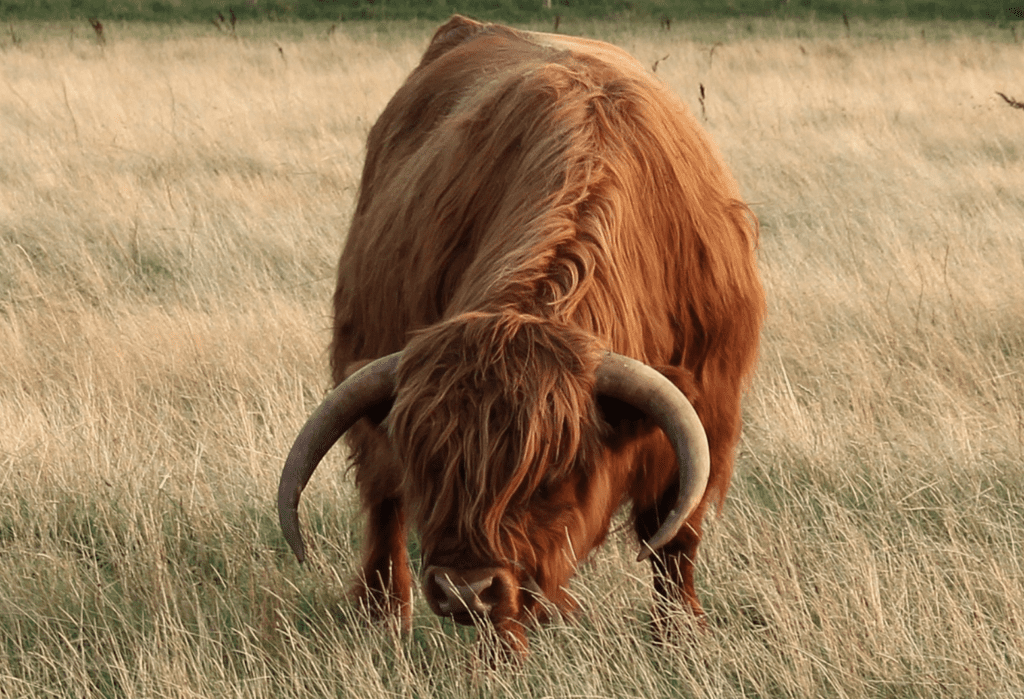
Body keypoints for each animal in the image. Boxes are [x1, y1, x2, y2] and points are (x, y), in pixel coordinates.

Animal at [278, 15, 765, 652]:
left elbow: (676, 537)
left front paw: (680, 637)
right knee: (383, 507)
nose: (464, 590)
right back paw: (382, 615)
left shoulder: (709, 411)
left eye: (549, 471)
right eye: (429, 463)